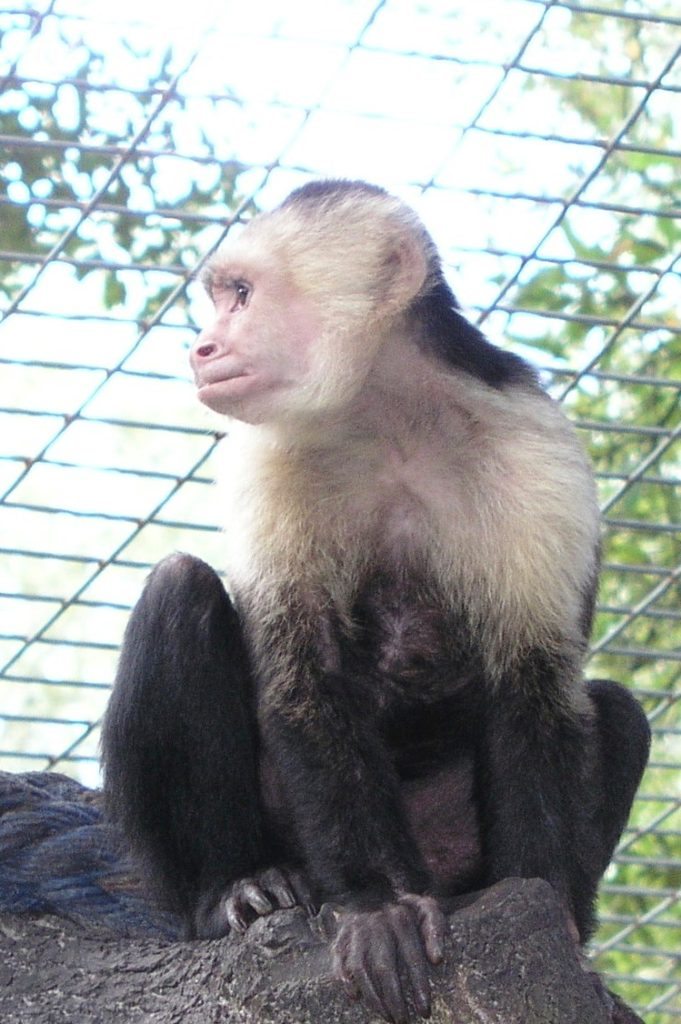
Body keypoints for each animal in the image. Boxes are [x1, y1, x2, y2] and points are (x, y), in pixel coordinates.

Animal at [101, 180, 650, 1024]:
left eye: (241, 294)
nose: (200, 346)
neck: (388, 412)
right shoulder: (271, 454)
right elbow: (306, 675)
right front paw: (376, 907)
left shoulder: (537, 451)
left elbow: (531, 688)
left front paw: (552, 921)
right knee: (178, 590)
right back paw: (234, 889)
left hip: (450, 847)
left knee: (614, 709)